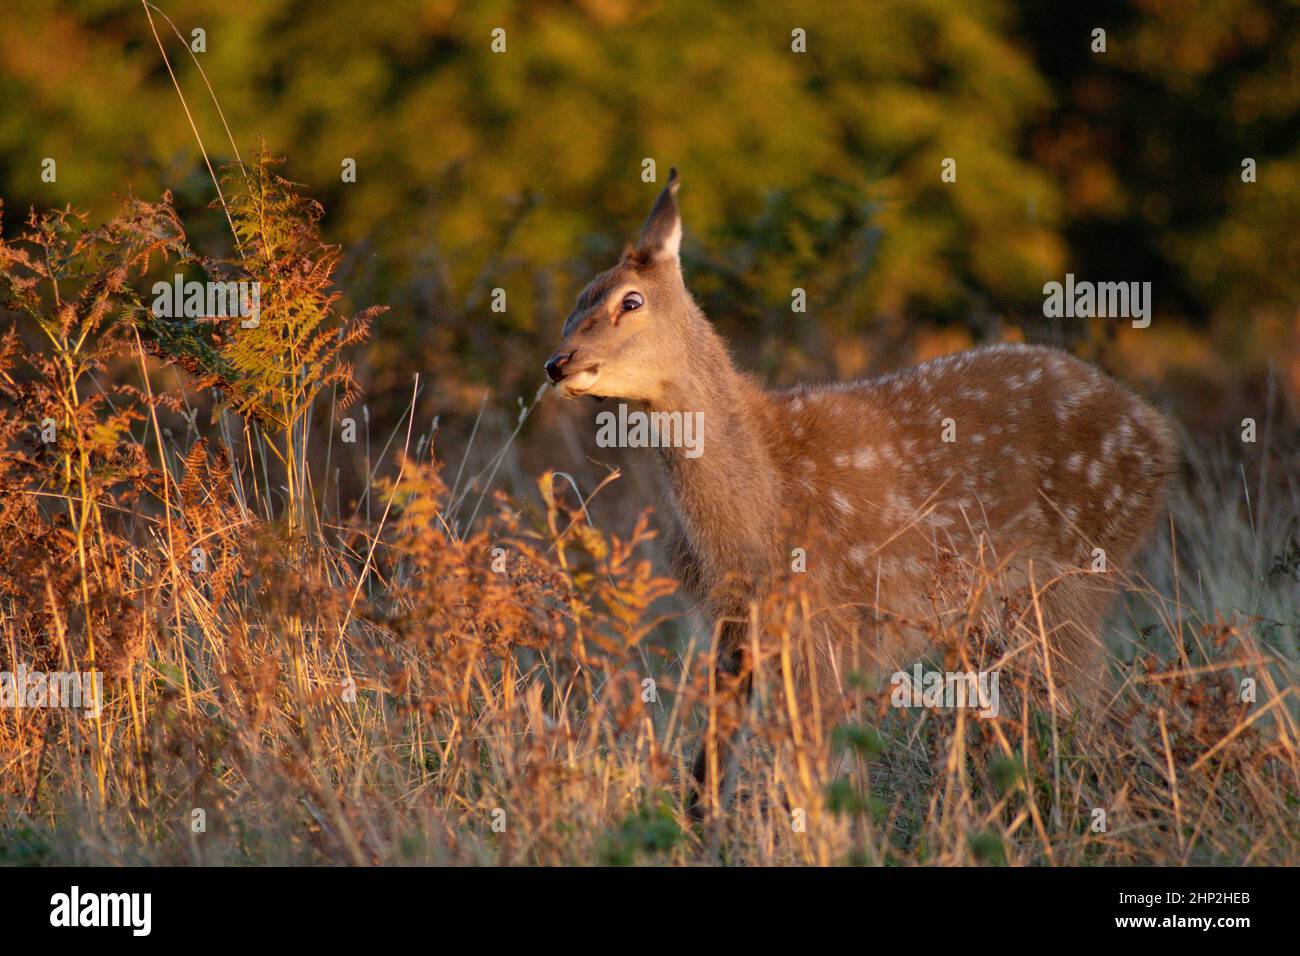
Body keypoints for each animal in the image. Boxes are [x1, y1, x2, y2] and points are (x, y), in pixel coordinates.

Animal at [544, 169, 1178, 817]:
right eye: (578, 300)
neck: (757, 509)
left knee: (1085, 710)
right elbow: (711, 767)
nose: (558, 362)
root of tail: (1157, 433)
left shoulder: (832, 622)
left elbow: (826, 767)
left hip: (1077, 576)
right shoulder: (731, 627)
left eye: (630, 300)